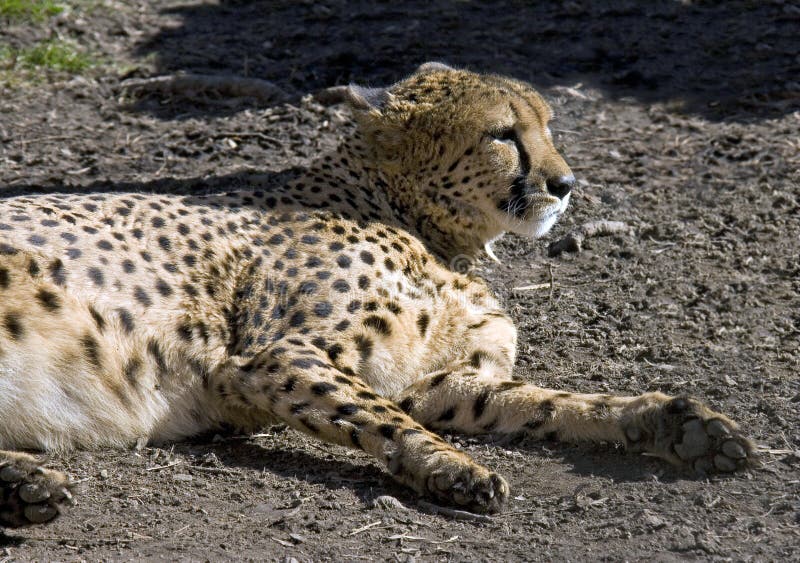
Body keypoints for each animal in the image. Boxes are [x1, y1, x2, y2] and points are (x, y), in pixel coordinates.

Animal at [0, 62, 754, 527]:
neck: (418, 223)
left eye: (548, 125)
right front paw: (454, 468)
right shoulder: (274, 358)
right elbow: (386, 420)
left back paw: (25, 486)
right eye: (503, 135)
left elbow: (549, 402)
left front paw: (675, 421)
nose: (565, 184)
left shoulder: (435, 382)